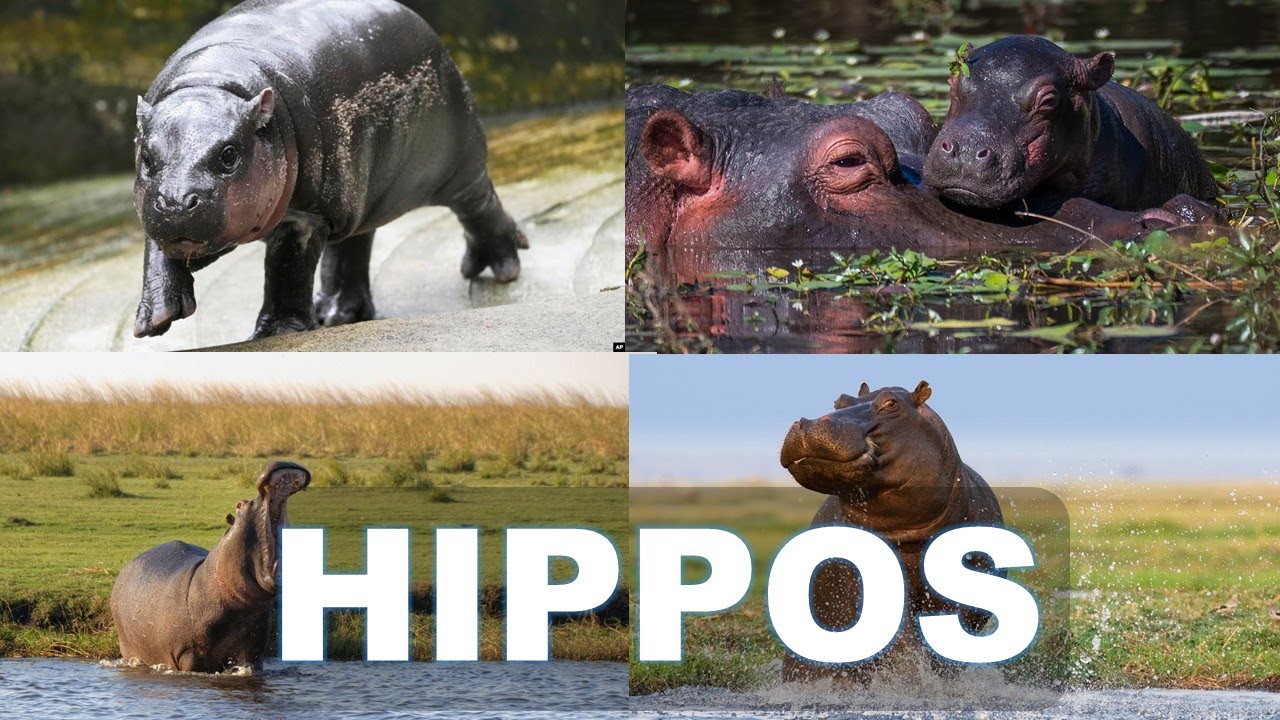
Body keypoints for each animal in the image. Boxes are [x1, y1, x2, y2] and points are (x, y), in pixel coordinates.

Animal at [133, 0, 525, 340]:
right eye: (147, 158)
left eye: (229, 154)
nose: (176, 203)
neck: (213, 83)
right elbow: (156, 250)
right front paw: (155, 319)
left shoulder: (308, 214)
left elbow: (288, 268)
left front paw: (279, 332)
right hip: (360, 193)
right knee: (353, 245)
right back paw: (336, 313)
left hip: (458, 162)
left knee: (478, 203)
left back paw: (501, 268)